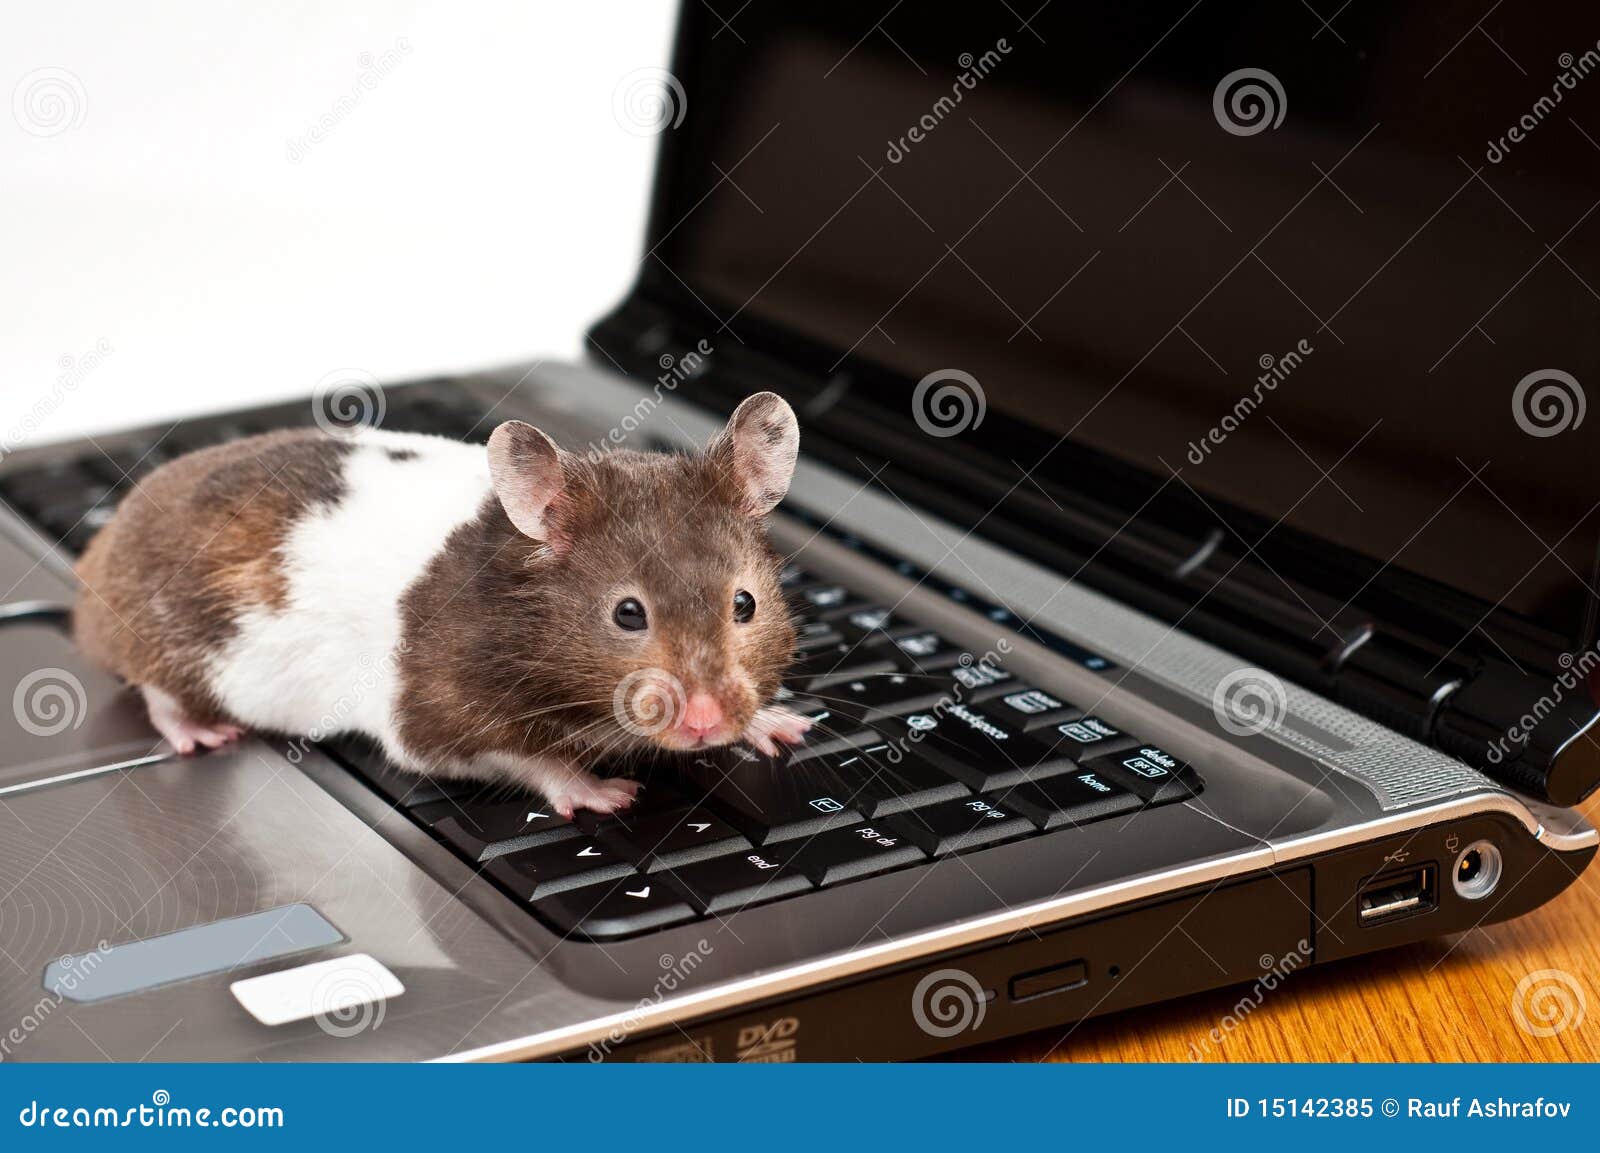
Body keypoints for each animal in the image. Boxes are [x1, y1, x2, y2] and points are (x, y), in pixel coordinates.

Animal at [71, 392, 812, 816]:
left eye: (745, 603)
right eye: (628, 613)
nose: (705, 723)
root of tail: (102, 544)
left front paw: (783, 726)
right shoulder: (429, 721)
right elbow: (525, 760)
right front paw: (605, 794)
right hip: (168, 638)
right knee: (156, 691)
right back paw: (202, 733)